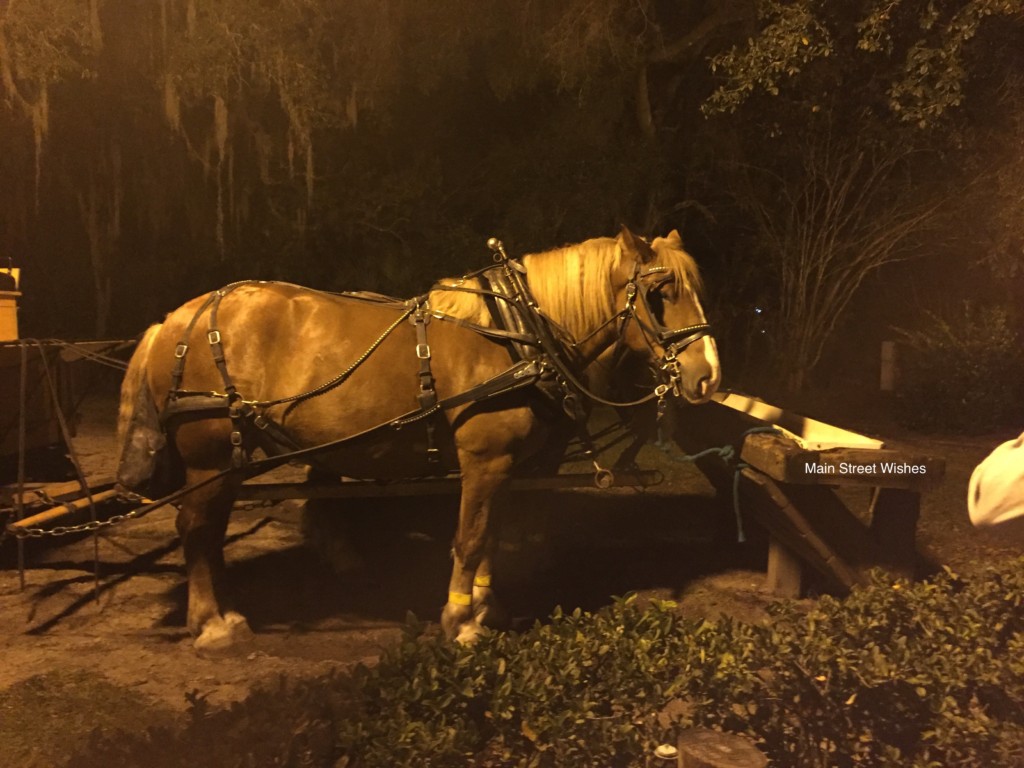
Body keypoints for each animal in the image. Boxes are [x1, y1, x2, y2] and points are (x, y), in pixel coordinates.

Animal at [115, 228, 721, 650]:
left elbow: (491, 537)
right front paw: (460, 622)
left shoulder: (506, 467)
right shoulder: (484, 460)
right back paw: (213, 624)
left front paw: (486, 609)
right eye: (661, 292)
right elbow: (470, 539)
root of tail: (175, 320)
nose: (708, 376)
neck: (517, 334)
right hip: (211, 459)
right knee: (197, 530)